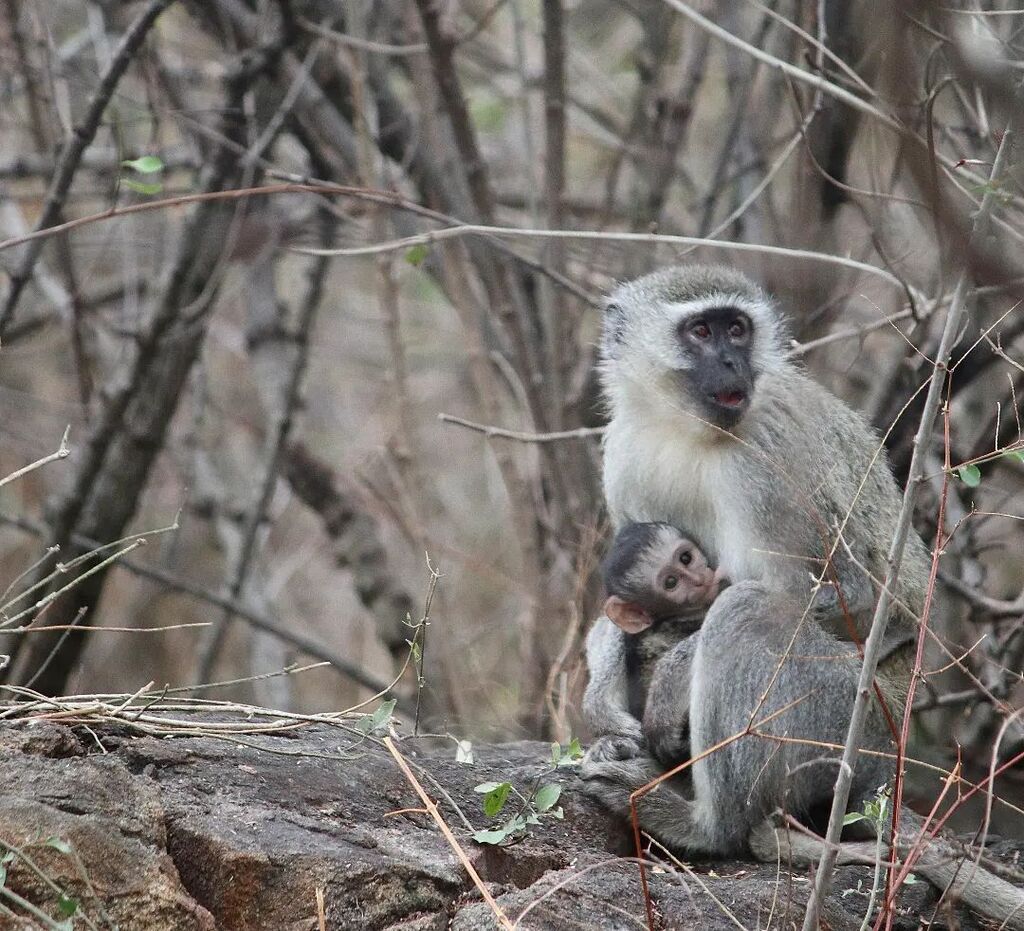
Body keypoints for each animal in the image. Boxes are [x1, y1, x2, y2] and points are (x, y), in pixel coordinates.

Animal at [579, 265, 1024, 928]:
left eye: (737, 329)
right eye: (702, 331)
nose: (733, 363)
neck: (688, 429)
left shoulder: (770, 463)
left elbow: (864, 596)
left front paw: (674, 673)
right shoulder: (626, 454)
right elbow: (624, 604)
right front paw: (604, 697)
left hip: (844, 722)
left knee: (747, 611)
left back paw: (704, 825)